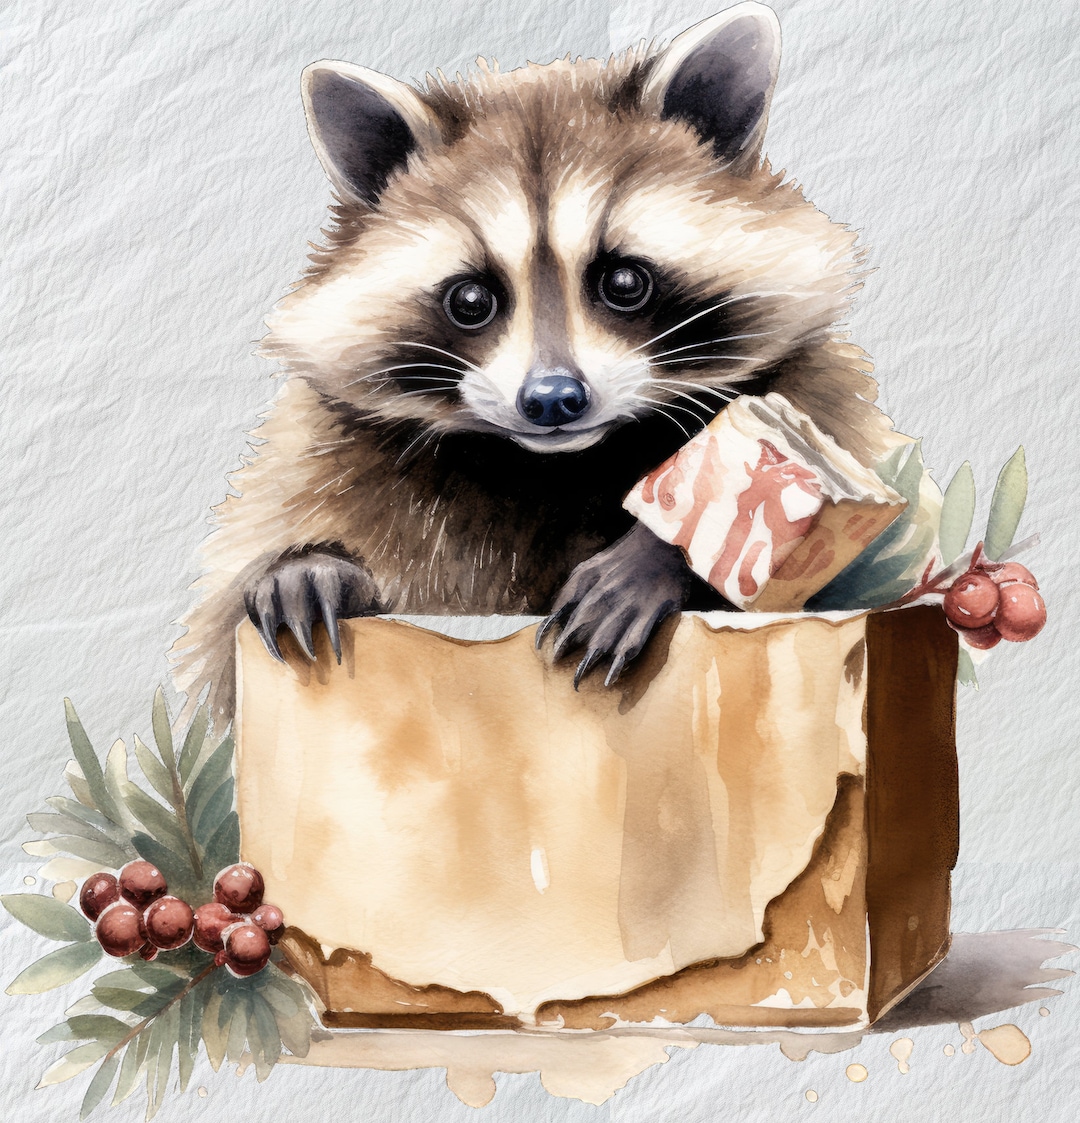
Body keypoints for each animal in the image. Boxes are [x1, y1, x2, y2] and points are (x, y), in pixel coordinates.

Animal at [172, 2, 897, 720]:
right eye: (470, 299)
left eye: (625, 281)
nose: (552, 399)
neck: (549, 467)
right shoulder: (319, 457)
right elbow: (232, 623)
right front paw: (310, 566)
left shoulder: (821, 395)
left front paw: (658, 556)